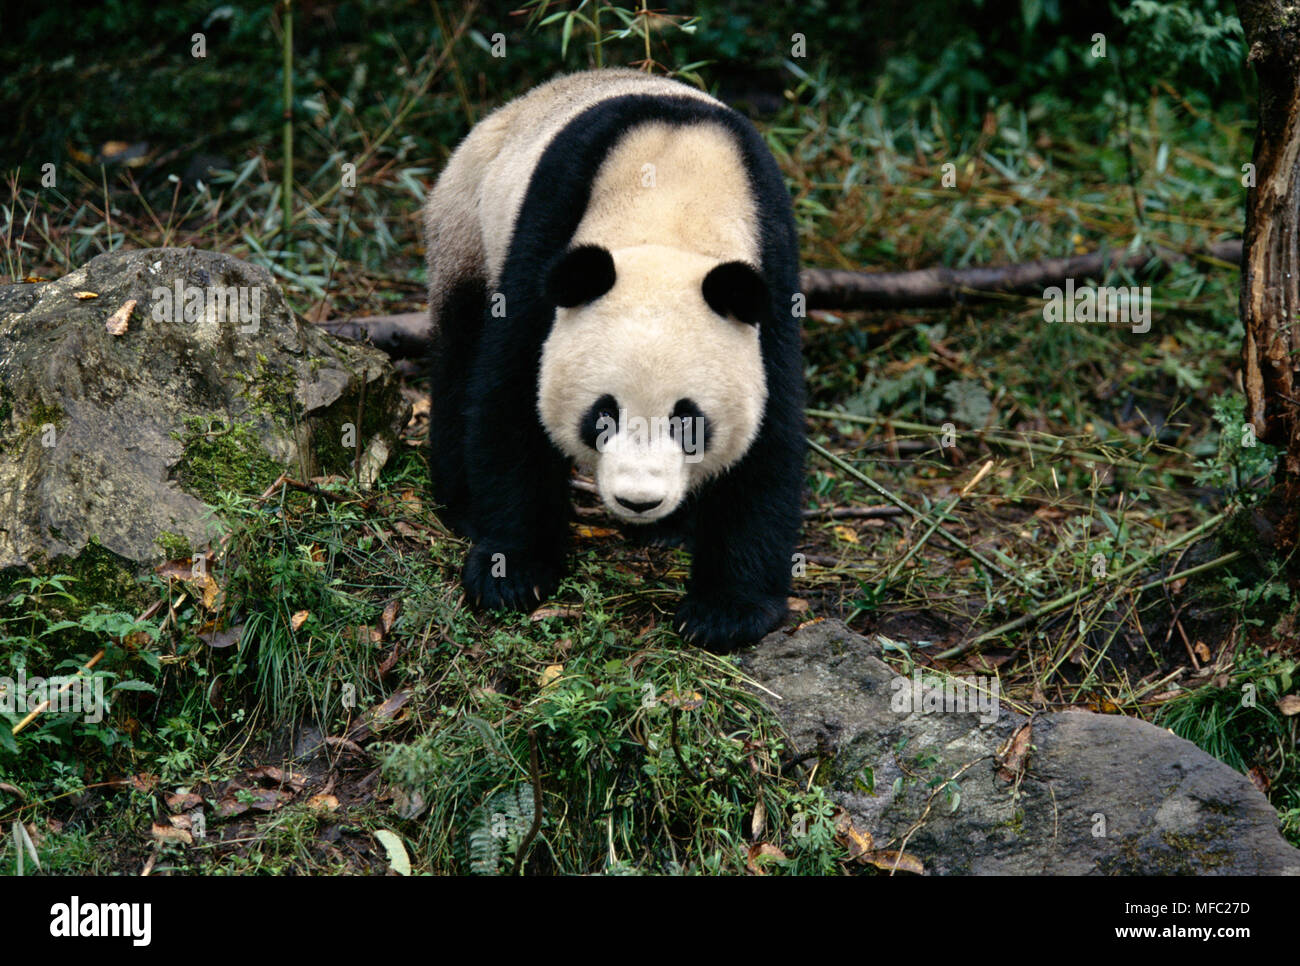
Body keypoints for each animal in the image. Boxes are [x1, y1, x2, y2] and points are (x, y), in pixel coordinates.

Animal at [423, 68, 804, 651]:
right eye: (602, 415)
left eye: (689, 421)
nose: (638, 500)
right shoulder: (547, 238)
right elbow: (510, 396)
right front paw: (512, 571)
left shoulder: (770, 279)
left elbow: (769, 439)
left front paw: (726, 611)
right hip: (467, 218)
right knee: (459, 353)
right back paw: (461, 503)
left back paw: (672, 529)